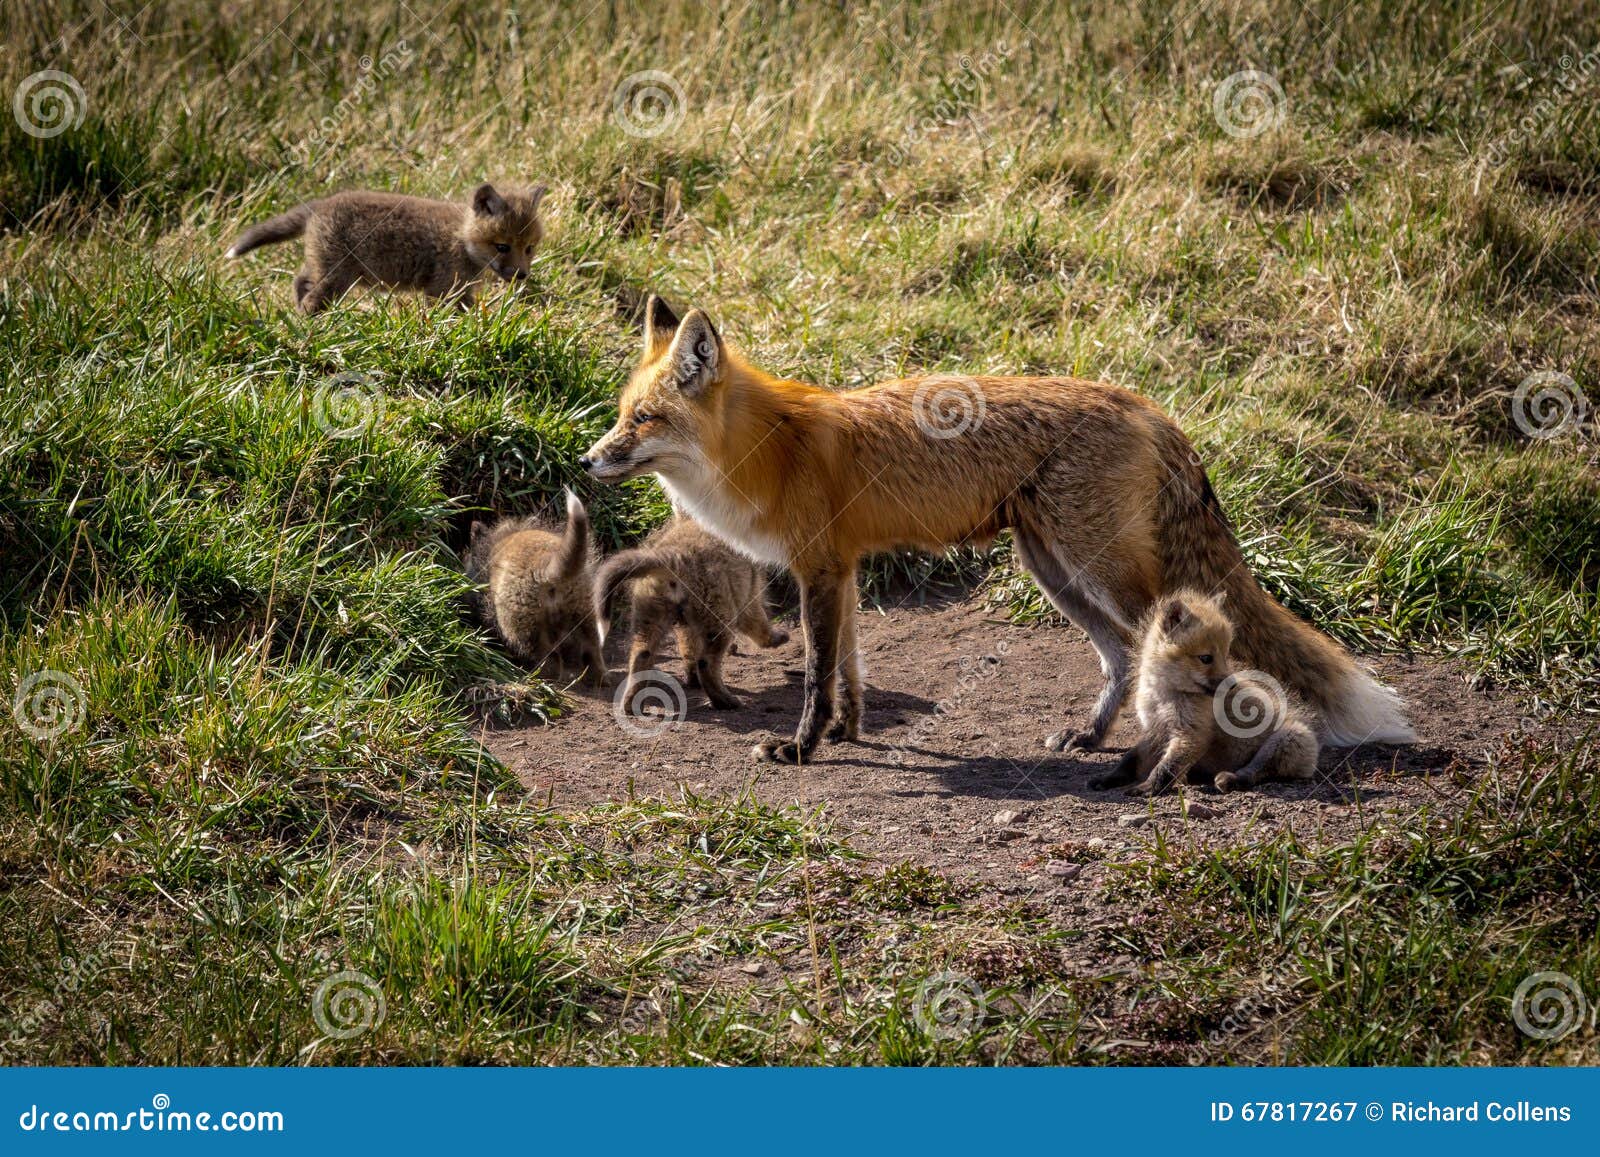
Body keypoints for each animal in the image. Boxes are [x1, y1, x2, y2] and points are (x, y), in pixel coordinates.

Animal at [225, 182, 547, 313]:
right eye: (502, 247)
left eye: (529, 248)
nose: (522, 275)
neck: (461, 239)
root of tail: (320, 204)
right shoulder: (441, 290)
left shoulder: (461, 291)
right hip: (337, 277)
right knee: (310, 300)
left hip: (323, 266)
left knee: (299, 281)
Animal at [464, 491, 604, 686]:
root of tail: (546, 564)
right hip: (585, 615)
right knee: (592, 650)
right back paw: (598, 678)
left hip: (523, 627)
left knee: (549, 661)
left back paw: (537, 679)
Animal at [595, 515, 789, 711]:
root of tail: (672, 558)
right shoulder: (749, 596)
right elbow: (760, 626)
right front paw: (778, 638)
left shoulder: (686, 625)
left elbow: (688, 649)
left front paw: (692, 678)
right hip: (718, 616)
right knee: (706, 663)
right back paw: (725, 701)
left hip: (649, 614)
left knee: (641, 655)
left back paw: (630, 704)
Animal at [1088, 591, 1320, 796]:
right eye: (1206, 658)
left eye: (1226, 654)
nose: (1232, 685)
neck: (1165, 695)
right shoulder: (1155, 730)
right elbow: (1130, 759)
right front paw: (1109, 778)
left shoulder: (1191, 734)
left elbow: (1165, 767)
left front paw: (1147, 787)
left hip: (1289, 738)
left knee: (1255, 771)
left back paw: (1230, 779)